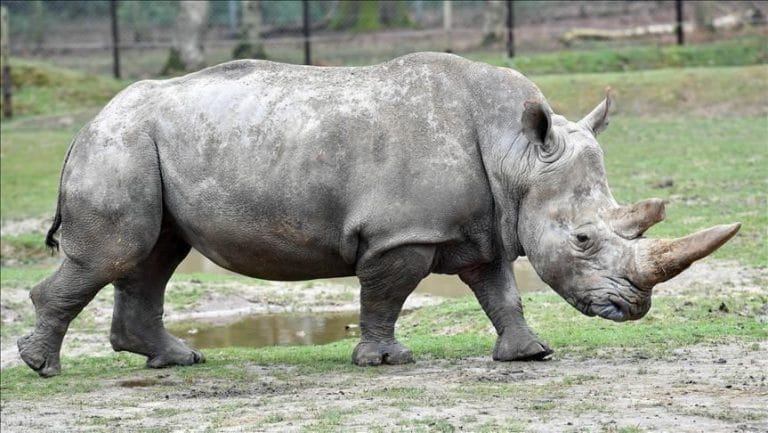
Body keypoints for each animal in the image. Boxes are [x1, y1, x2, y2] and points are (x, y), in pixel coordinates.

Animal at [18, 53, 740, 377]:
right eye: (585, 237)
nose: (635, 308)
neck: (517, 154)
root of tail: (88, 122)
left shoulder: (482, 225)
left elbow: (499, 289)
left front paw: (529, 353)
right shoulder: (403, 234)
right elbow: (388, 292)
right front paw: (387, 360)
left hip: (141, 146)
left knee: (155, 253)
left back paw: (176, 361)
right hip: (120, 145)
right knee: (119, 250)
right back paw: (43, 367)